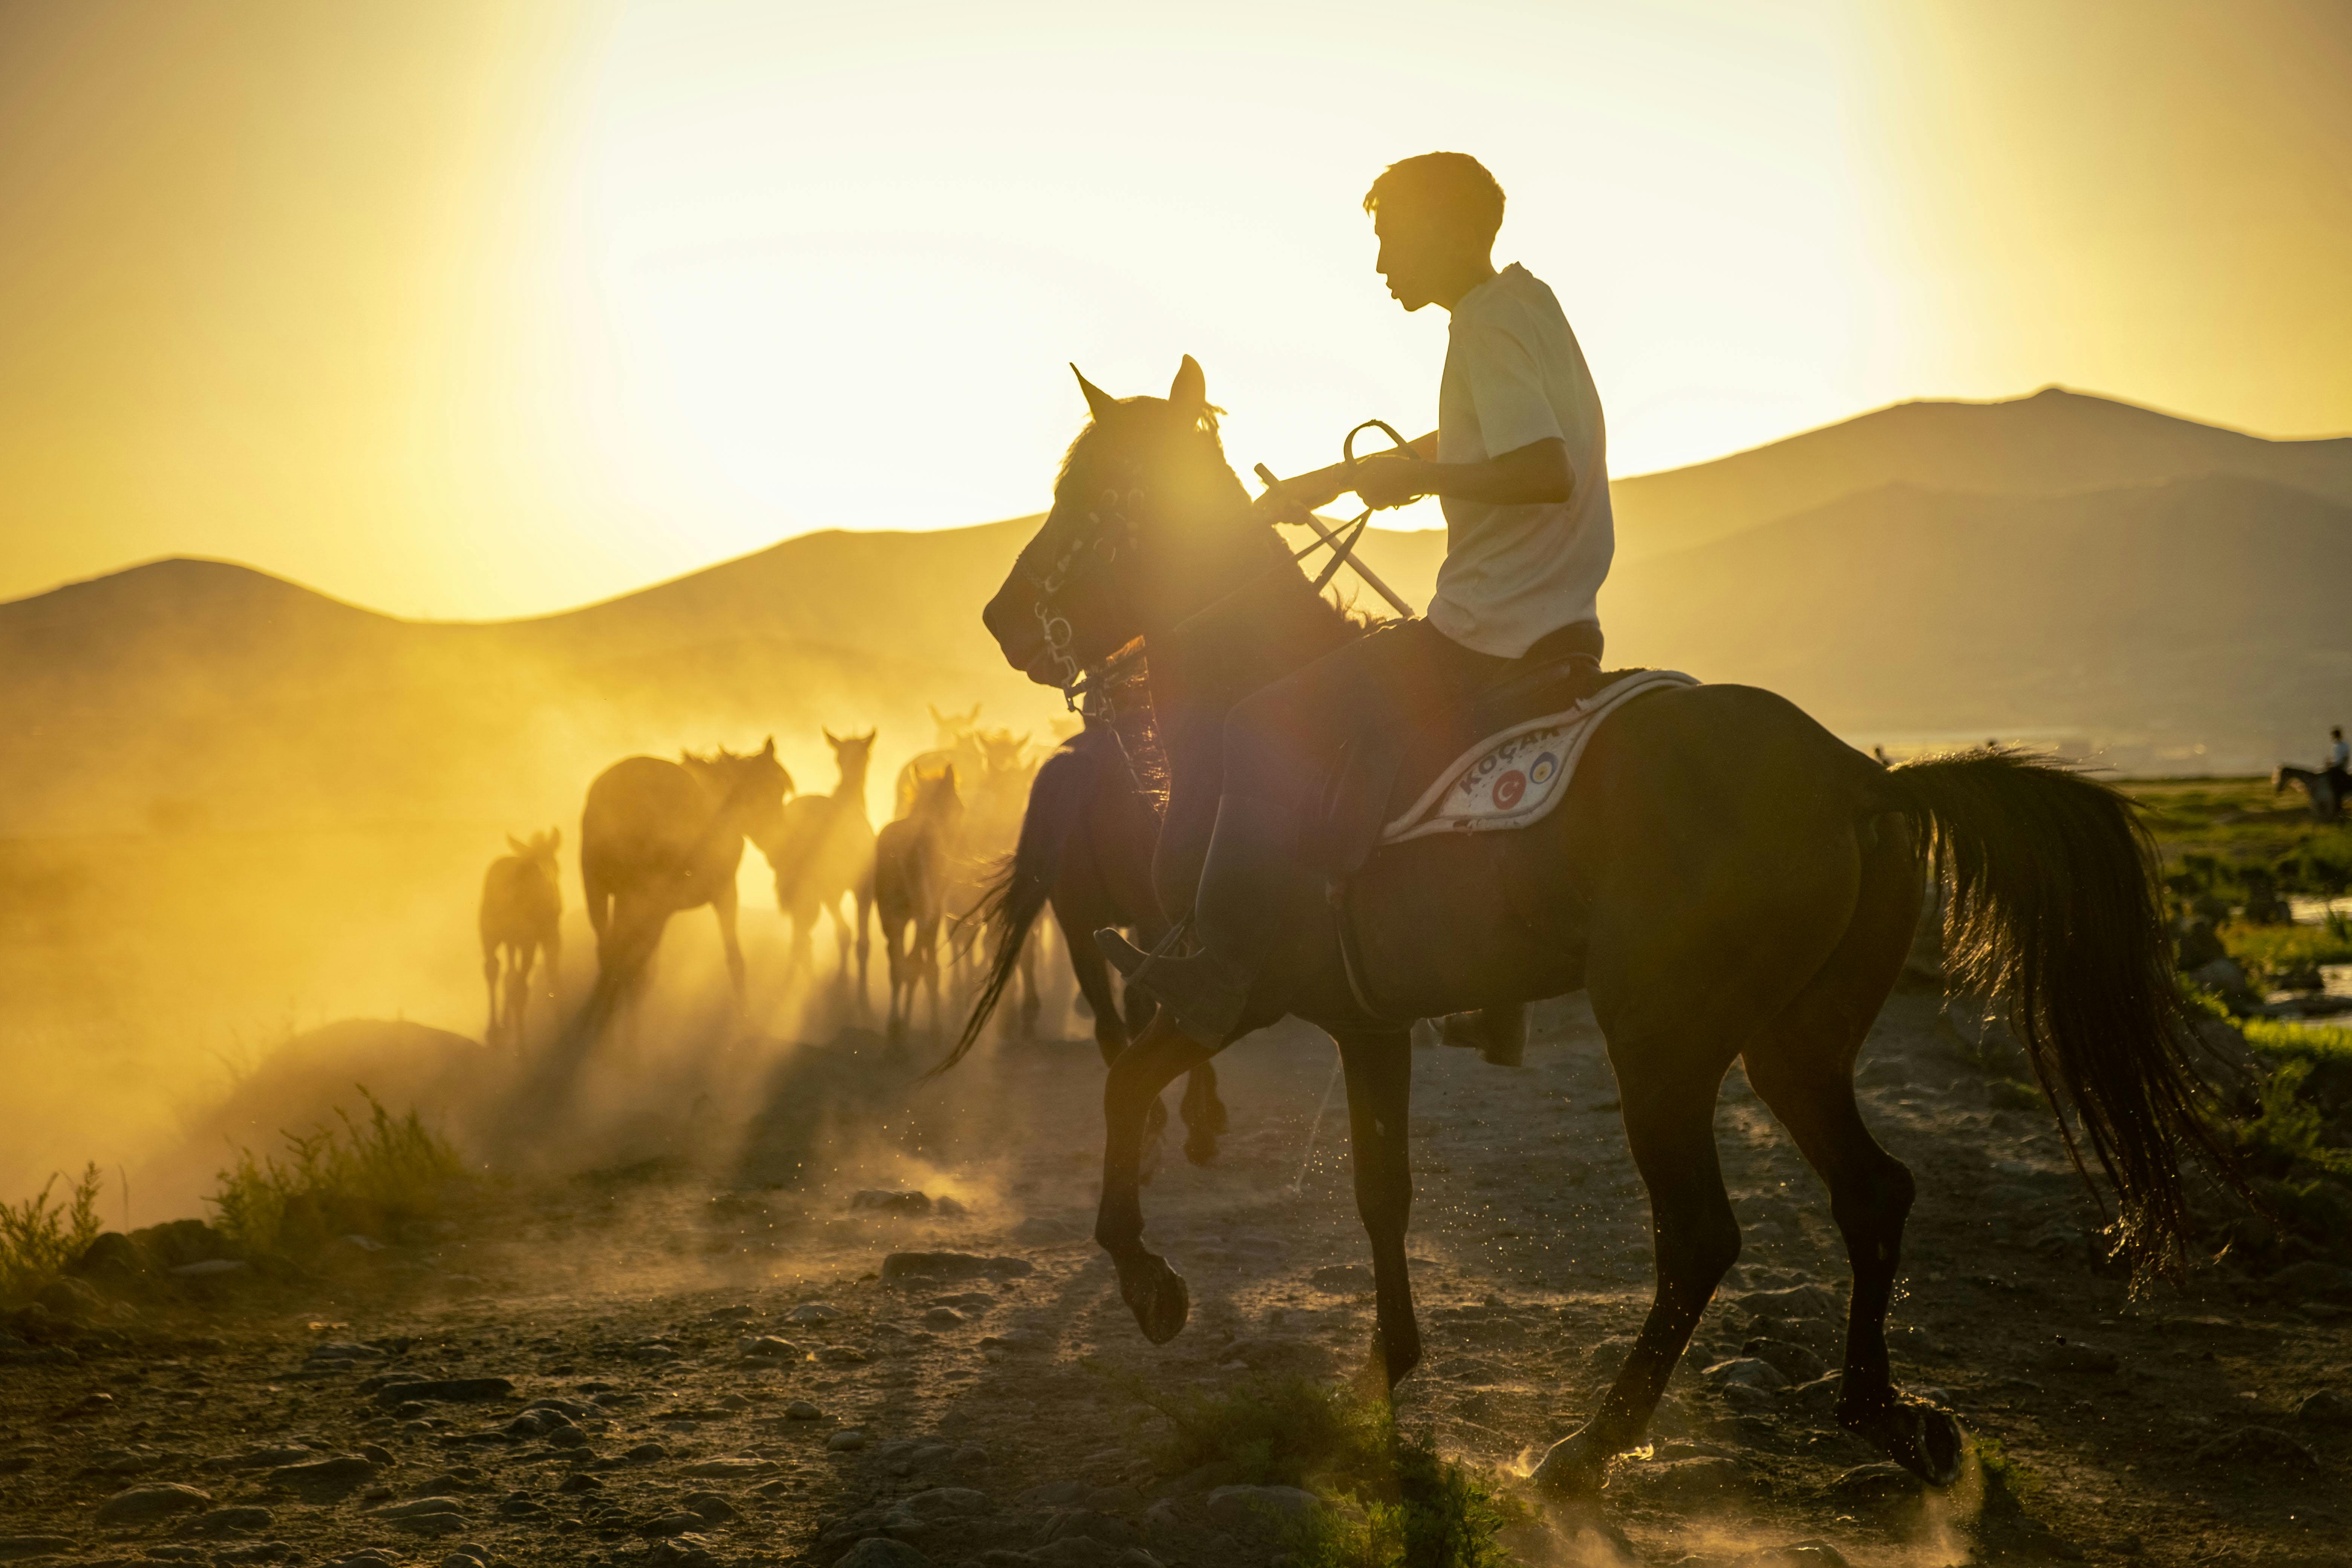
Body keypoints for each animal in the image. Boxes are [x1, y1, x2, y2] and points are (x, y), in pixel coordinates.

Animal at [479, 828, 562, 1046]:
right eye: (557, 865)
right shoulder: (551, 935)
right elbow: (553, 975)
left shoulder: (512, 941)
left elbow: (508, 975)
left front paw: (505, 1024)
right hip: (527, 939)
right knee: (521, 988)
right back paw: (520, 1044)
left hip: (488, 931)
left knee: (493, 969)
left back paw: (494, 1031)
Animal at [579, 739, 792, 1005]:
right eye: (776, 790)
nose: (781, 849)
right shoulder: (725, 893)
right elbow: (736, 962)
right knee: (628, 965)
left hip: (601, 892)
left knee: (614, 958)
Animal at [761, 728, 878, 999]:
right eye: (839, 757)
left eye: (864, 756)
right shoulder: (863, 889)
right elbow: (859, 941)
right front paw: (857, 992)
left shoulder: (835, 893)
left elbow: (844, 935)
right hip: (819, 889)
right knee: (815, 936)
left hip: (799, 889)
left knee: (800, 939)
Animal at [875, 766, 963, 1037]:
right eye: (959, 806)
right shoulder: (934, 913)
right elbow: (928, 966)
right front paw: (933, 1023)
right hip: (921, 913)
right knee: (914, 964)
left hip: (890, 914)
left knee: (897, 964)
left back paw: (895, 1023)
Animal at [955, 355, 2235, 1496]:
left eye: (1093, 499)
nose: (1003, 617)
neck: (1246, 702)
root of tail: (1854, 778)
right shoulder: (1367, 1024)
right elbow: (1381, 1191)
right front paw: (1385, 1374)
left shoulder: (1238, 991)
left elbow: (1127, 1088)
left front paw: (1151, 1284)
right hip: (1794, 1038)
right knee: (1873, 1194)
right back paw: (1885, 1417)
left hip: (1663, 1037)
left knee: (1702, 1236)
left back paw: (1590, 1446)